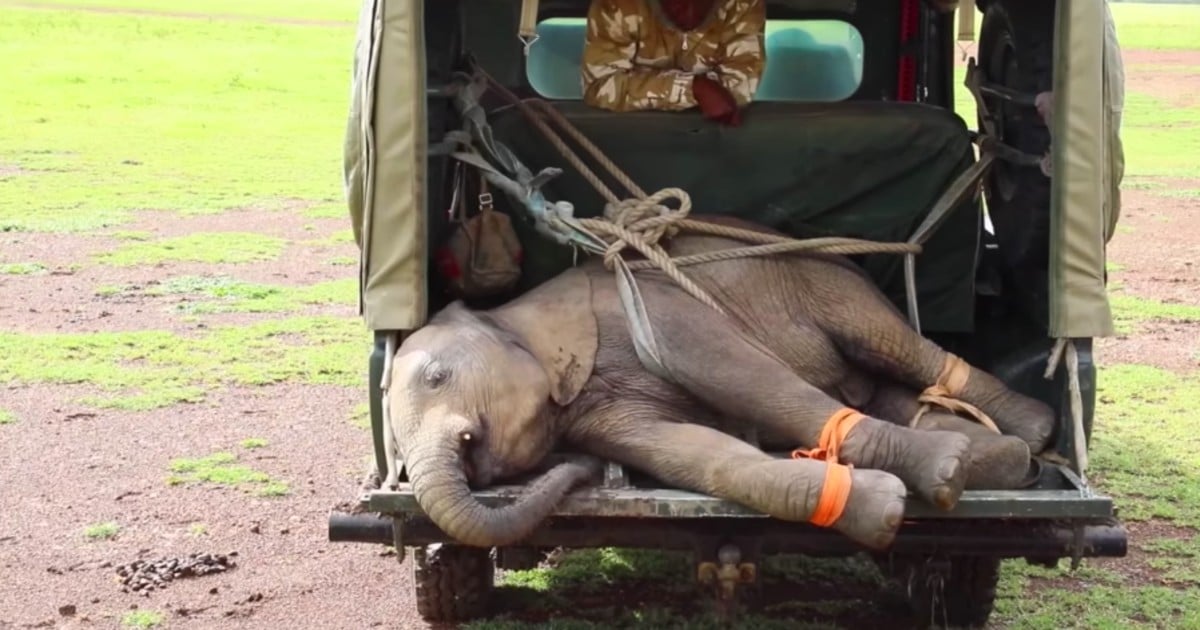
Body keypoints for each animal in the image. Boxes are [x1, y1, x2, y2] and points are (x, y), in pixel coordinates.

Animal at [383, 216, 1056, 551]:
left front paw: (940, 475)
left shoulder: (654, 313)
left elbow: (750, 381)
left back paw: (1028, 433)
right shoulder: (600, 417)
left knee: (899, 347)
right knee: (888, 393)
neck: (511, 317)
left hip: (824, 277)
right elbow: (702, 458)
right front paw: (889, 509)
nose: (583, 473)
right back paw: (998, 461)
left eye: (439, 376)